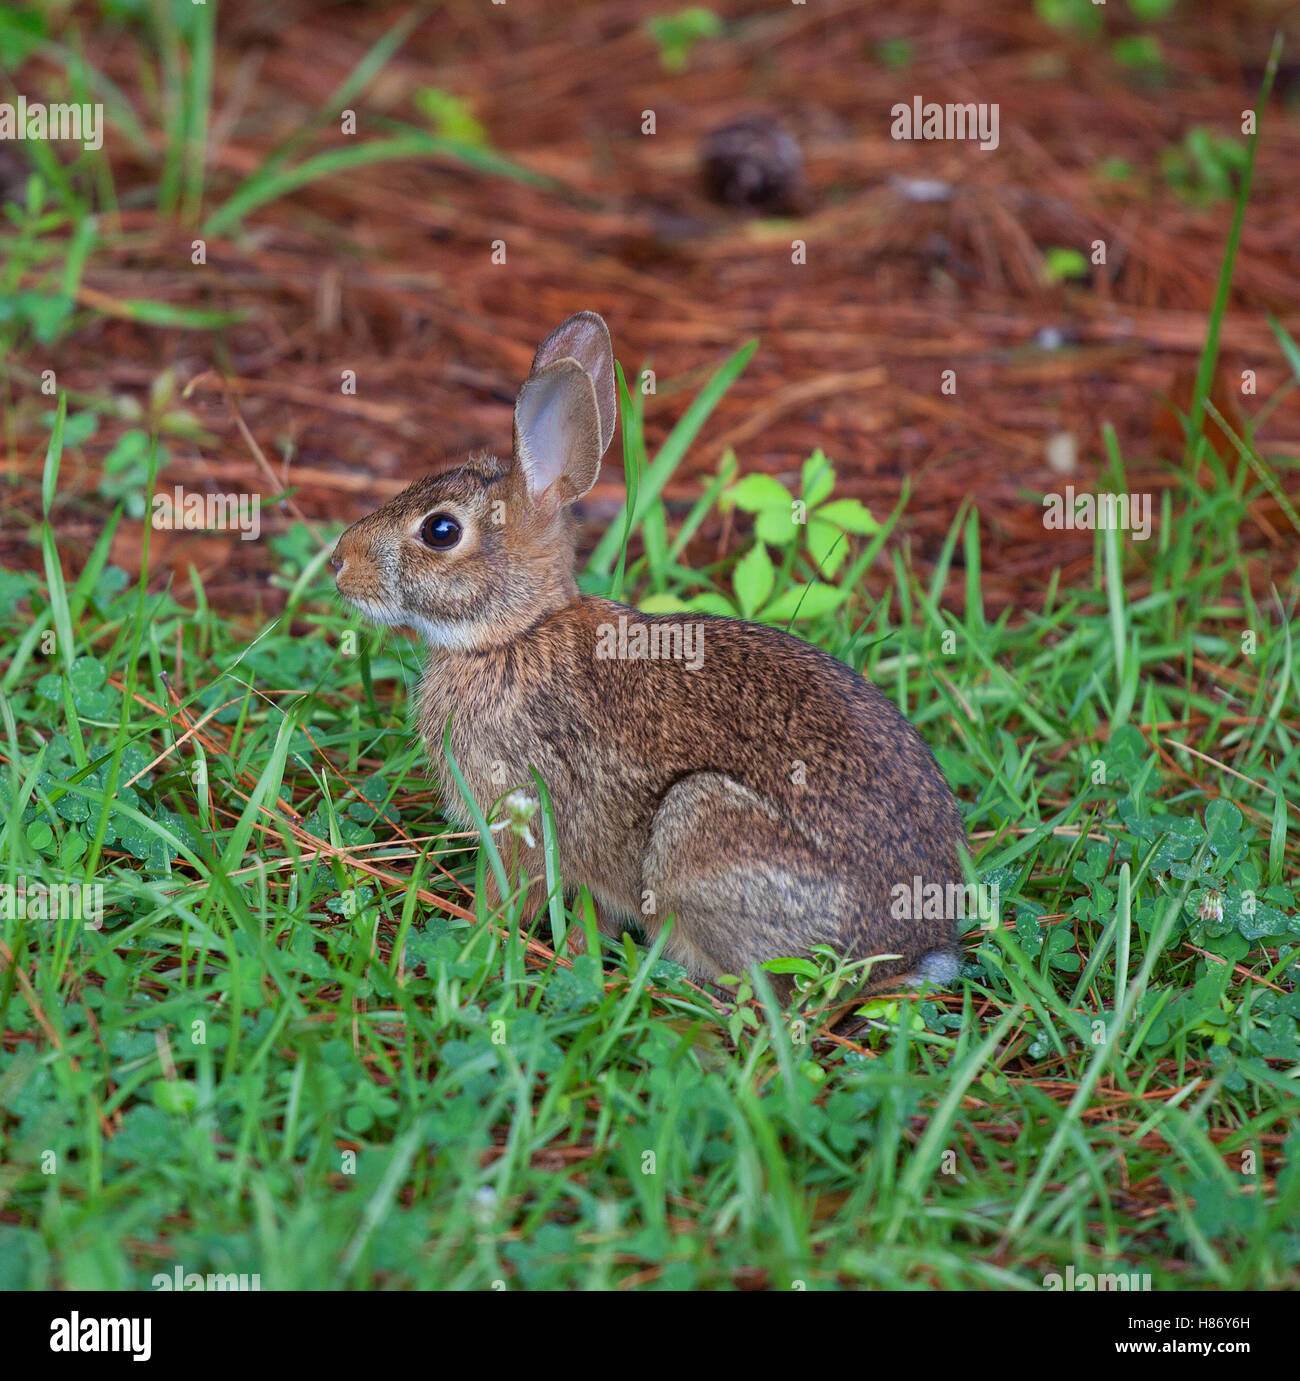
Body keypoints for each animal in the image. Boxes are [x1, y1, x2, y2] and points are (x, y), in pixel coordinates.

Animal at [330, 311, 968, 1000]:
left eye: (440, 531)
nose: (339, 562)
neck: (515, 635)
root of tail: (913, 945)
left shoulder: (520, 814)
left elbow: (512, 895)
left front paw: (479, 936)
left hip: (699, 826)